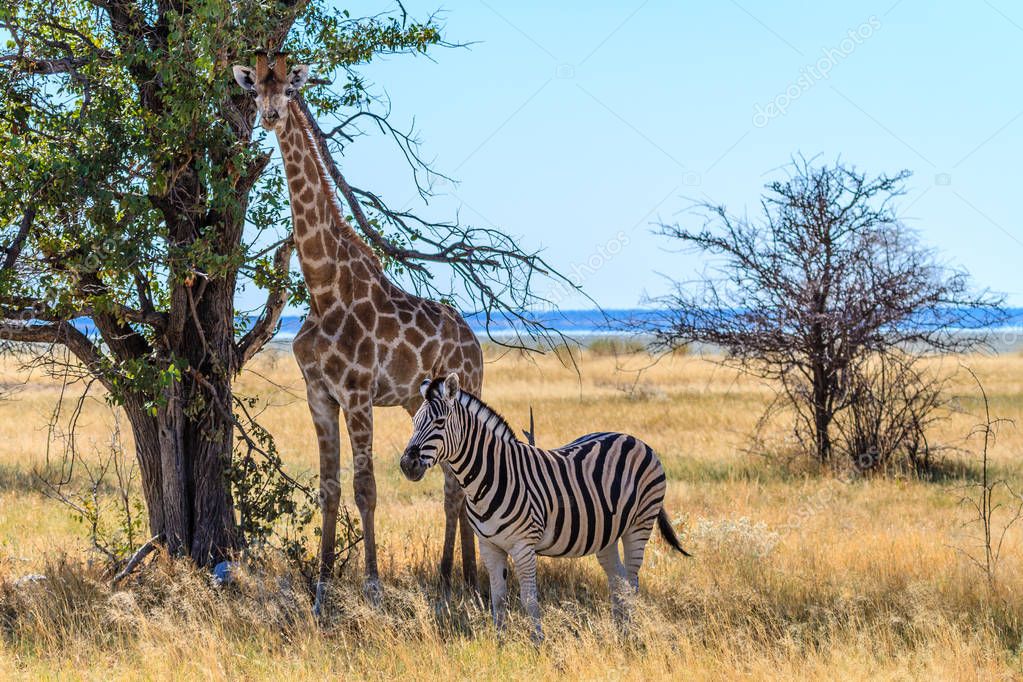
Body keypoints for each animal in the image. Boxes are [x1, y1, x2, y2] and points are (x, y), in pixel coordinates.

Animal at [232, 53, 482, 611]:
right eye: (255, 88)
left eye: (290, 88)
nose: (271, 115)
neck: (323, 284)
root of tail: (474, 342)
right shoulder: (319, 394)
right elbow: (329, 488)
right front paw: (322, 590)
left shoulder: (358, 392)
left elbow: (366, 487)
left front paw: (372, 588)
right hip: (417, 402)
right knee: (454, 482)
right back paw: (460, 578)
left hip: (464, 392)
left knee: (457, 486)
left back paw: (458, 582)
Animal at [399, 374, 690, 642]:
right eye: (414, 423)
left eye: (439, 423)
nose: (407, 464)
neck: (491, 475)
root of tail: (635, 439)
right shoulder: (489, 546)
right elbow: (497, 598)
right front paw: (500, 644)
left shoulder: (523, 546)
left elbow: (528, 599)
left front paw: (537, 643)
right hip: (605, 532)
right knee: (617, 579)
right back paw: (619, 631)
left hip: (639, 524)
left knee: (631, 581)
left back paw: (631, 635)